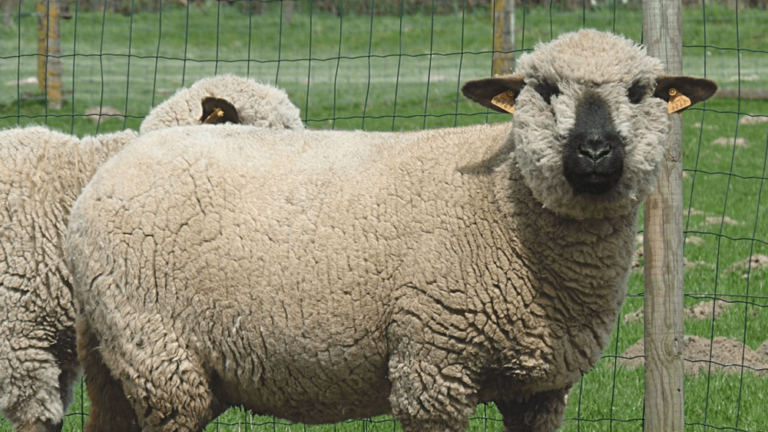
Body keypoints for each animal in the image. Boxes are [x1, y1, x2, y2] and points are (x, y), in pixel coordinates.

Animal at [64, 30, 717, 432]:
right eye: (545, 89)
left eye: (641, 92)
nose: (596, 150)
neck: (504, 204)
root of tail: (112, 167)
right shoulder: (432, 364)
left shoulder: (539, 391)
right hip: (159, 354)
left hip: (113, 358)